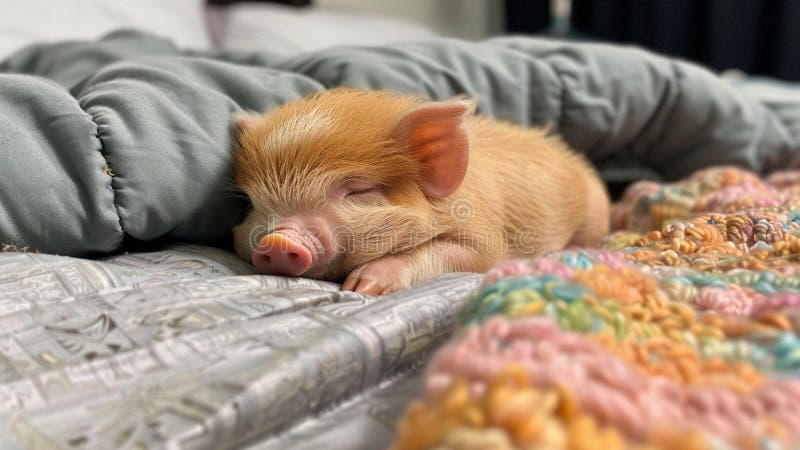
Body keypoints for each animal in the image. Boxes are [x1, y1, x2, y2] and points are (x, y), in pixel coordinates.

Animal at [232, 88, 609, 295]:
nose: (277, 240)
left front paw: (362, 287)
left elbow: (458, 255)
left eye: (358, 190)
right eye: (251, 203)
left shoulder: (486, 239)